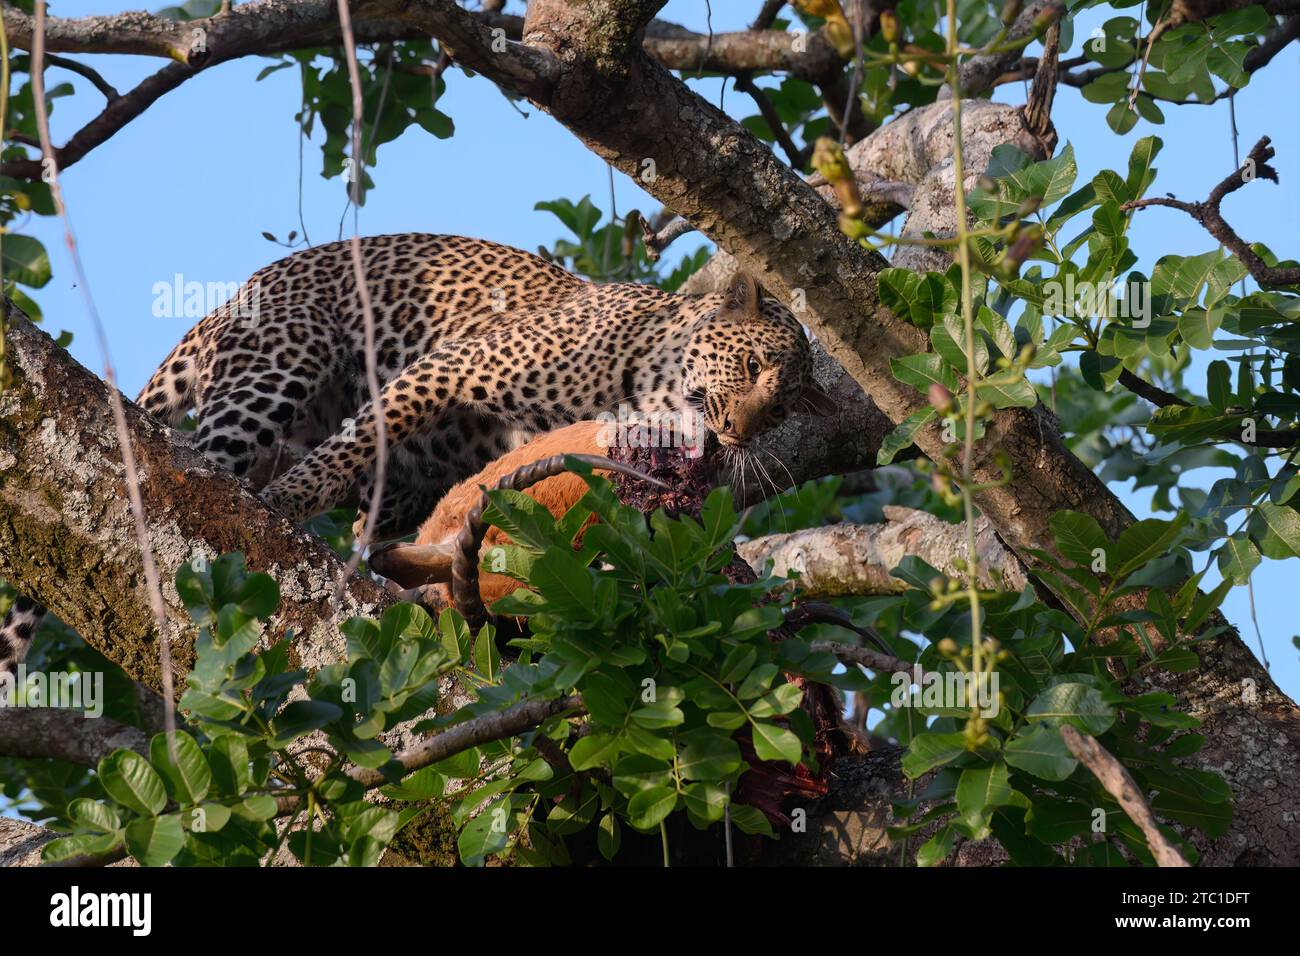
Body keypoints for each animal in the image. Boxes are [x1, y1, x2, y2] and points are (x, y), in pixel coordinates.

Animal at [0, 233, 834, 677]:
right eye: (753, 367)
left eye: (781, 410)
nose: (739, 433)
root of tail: (235, 295)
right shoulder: (451, 367)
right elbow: (362, 437)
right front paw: (292, 504)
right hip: (277, 368)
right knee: (205, 463)